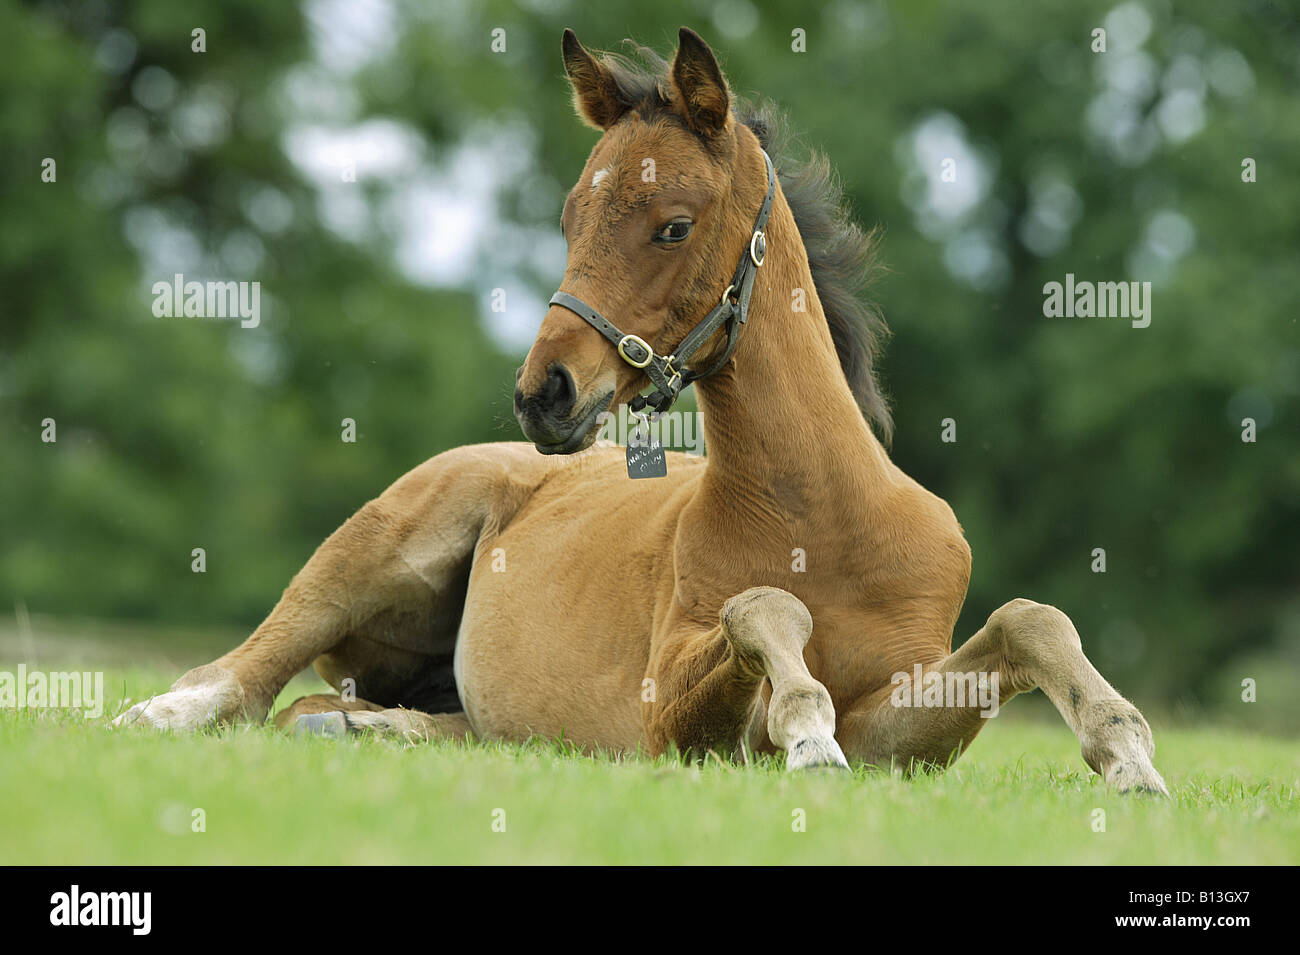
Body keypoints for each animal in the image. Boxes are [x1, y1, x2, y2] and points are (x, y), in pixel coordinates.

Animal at [114, 27, 1168, 794]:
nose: (545, 392)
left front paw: (1131, 757)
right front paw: (807, 734)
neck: (825, 519)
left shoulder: (898, 724)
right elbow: (764, 609)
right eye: (571, 216)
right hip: (374, 547)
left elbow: (1030, 619)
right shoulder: (669, 720)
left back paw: (358, 726)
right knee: (241, 680)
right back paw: (155, 716)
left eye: (674, 225)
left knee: (366, 720)